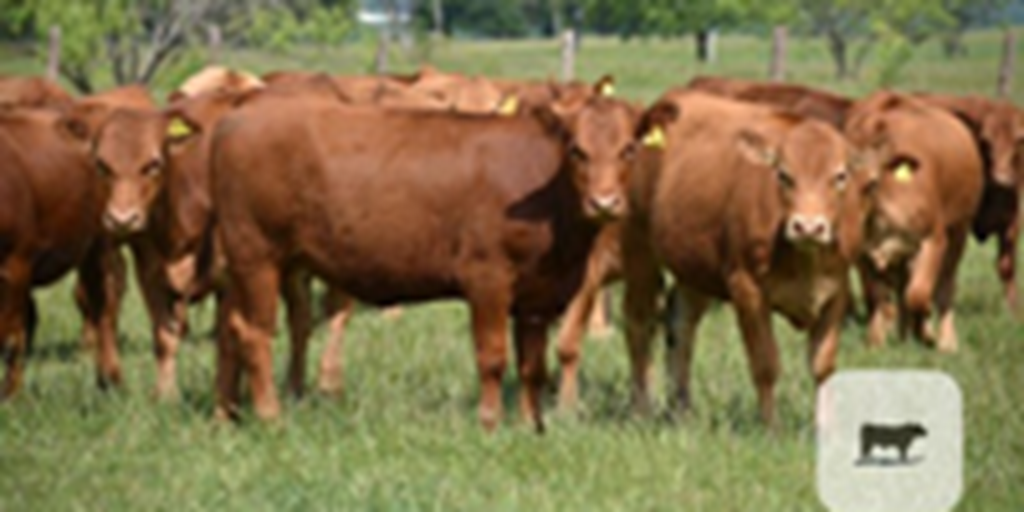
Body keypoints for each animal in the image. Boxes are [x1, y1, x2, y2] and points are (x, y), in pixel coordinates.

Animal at [0, 106, 122, 397]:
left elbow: (11, 338)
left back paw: (109, 378)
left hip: (100, 243)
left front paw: (10, 398)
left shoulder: (15, 264)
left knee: (105, 303)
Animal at [209, 86, 667, 430]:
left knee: (230, 330)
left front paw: (531, 425)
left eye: (629, 149)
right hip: (256, 256)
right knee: (254, 333)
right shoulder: (487, 279)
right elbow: (493, 357)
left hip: (250, 265)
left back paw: (227, 416)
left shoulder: (537, 296)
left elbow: (532, 366)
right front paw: (489, 423)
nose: (604, 202)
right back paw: (270, 417)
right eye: (576, 150)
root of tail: (245, 109)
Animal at [621, 91, 875, 425]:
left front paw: (825, 427)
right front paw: (770, 427)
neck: (806, 262)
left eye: (840, 176)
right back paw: (641, 409)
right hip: (639, 249)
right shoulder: (747, 289)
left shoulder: (837, 289)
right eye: (784, 175)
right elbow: (766, 364)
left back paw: (682, 409)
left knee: (681, 324)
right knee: (639, 321)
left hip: (694, 268)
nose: (808, 226)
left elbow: (823, 366)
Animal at [846, 92, 984, 352]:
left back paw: (946, 341)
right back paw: (903, 334)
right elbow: (878, 296)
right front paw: (875, 342)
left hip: (959, 231)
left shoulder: (934, 239)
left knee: (945, 287)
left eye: (871, 183)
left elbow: (919, 293)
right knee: (900, 288)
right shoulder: (864, 253)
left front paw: (926, 330)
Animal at [915, 93, 1024, 312]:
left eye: (1019, 140)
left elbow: (1007, 265)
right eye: (986, 141)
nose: (1001, 179)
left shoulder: (1014, 220)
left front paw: (1014, 310)